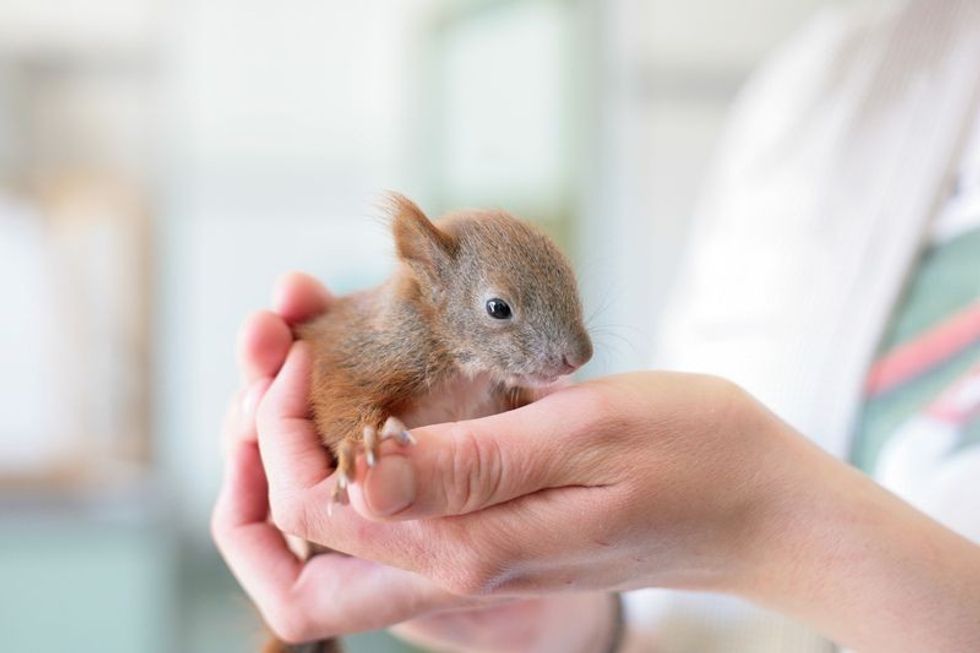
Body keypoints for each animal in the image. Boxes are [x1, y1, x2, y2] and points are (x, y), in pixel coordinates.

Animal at [263, 194, 593, 653]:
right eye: (498, 308)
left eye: (569, 279)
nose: (580, 356)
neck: (463, 373)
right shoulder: (358, 354)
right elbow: (337, 399)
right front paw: (364, 439)